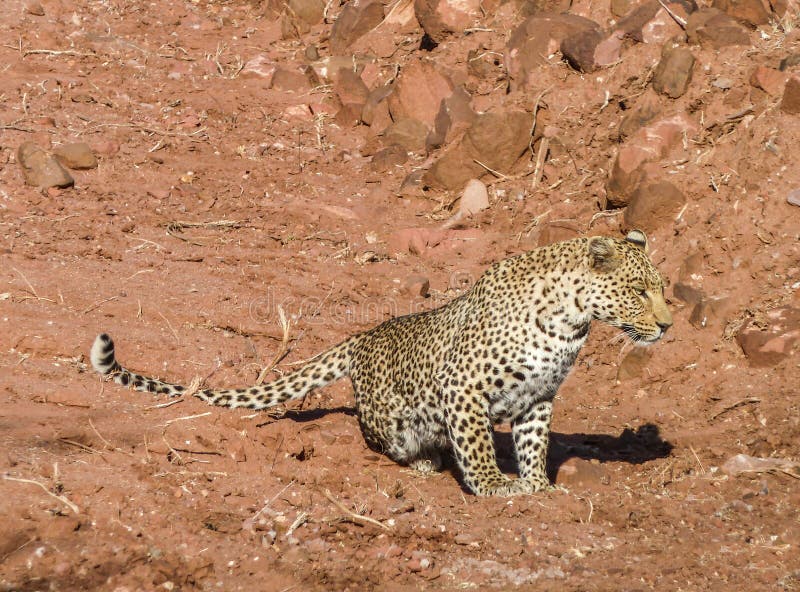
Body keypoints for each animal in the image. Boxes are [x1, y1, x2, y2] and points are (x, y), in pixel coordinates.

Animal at [90, 229, 672, 496]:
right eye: (640, 291)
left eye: (661, 289)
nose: (668, 326)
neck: (571, 322)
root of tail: (362, 336)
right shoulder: (465, 388)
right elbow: (479, 446)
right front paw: (493, 485)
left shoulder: (538, 398)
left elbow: (534, 446)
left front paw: (538, 486)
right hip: (389, 416)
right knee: (383, 438)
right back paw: (422, 462)